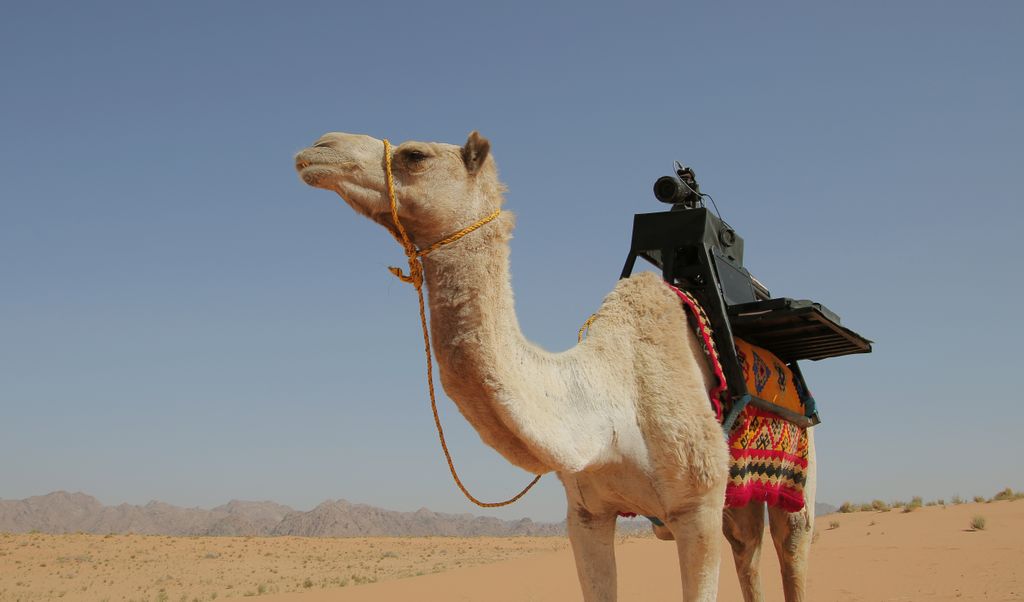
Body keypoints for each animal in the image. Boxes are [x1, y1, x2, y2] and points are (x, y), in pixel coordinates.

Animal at [294, 130, 816, 601]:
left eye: (414, 155)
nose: (318, 149)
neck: (606, 409)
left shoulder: (697, 505)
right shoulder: (587, 514)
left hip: (795, 476)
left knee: (790, 545)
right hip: (739, 495)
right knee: (747, 549)